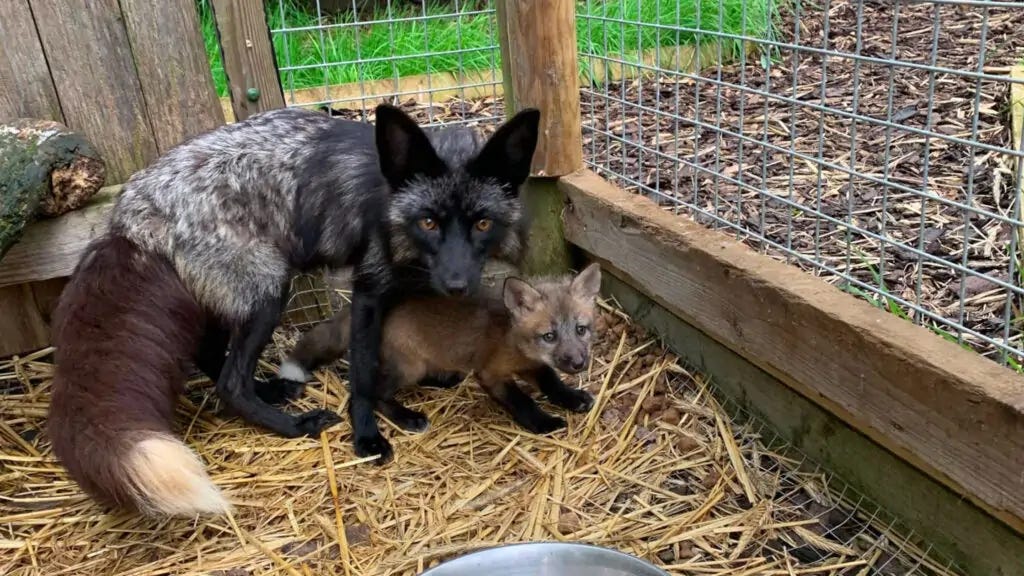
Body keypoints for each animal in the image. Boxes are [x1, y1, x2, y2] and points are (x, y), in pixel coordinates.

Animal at [47, 103, 540, 517]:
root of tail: (129, 212)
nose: (458, 285)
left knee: (214, 357)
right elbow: (363, 372)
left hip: (228, 297)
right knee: (230, 382)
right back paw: (293, 424)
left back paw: (271, 391)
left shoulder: (408, 286)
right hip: (268, 291)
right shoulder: (368, 288)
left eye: (482, 223)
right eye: (430, 222)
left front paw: (420, 387)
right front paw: (368, 435)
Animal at [276, 263, 603, 435]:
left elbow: (552, 383)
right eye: (549, 336)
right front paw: (544, 422)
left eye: (581, 329)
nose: (578, 363)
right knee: (376, 394)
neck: (515, 343)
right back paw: (408, 417)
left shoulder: (533, 365)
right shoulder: (491, 373)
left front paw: (573, 398)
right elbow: (522, 401)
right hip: (409, 367)